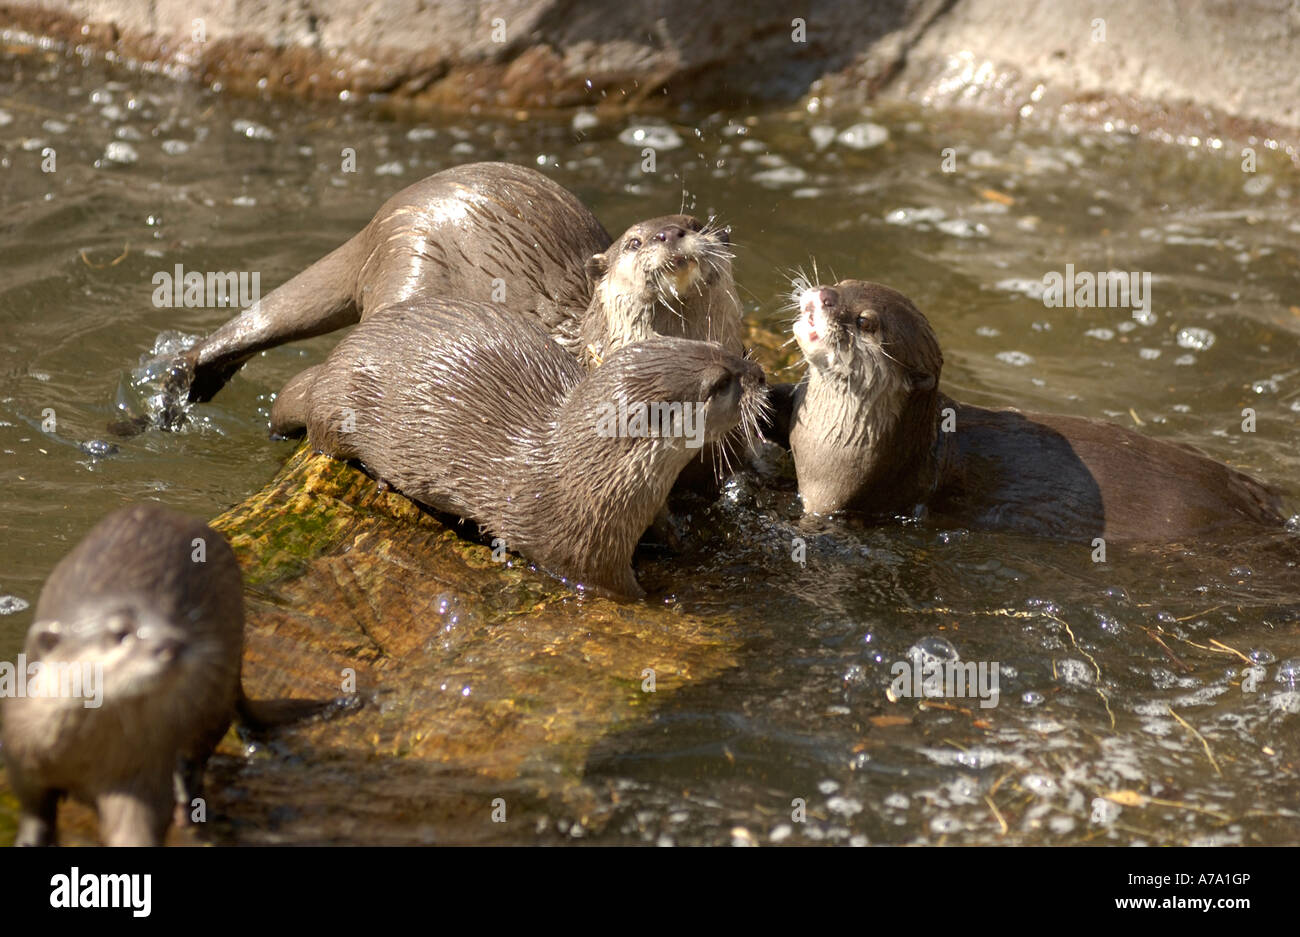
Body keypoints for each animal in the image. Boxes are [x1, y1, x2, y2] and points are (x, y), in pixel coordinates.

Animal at [3, 504, 243, 846]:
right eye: (120, 633)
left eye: (177, 619)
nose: (173, 645)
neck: (81, 757)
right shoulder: (22, 756)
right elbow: (35, 812)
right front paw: (28, 839)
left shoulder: (141, 771)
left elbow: (138, 821)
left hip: (217, 701)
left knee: (197, 755)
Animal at [269, 300, 767, 597]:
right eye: (720, 383)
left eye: (718, 346)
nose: (760, 373)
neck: (590, 482)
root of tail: (335, 357)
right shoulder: (581, 553)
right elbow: (612, 588)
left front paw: (681, 541)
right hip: (338, 409)